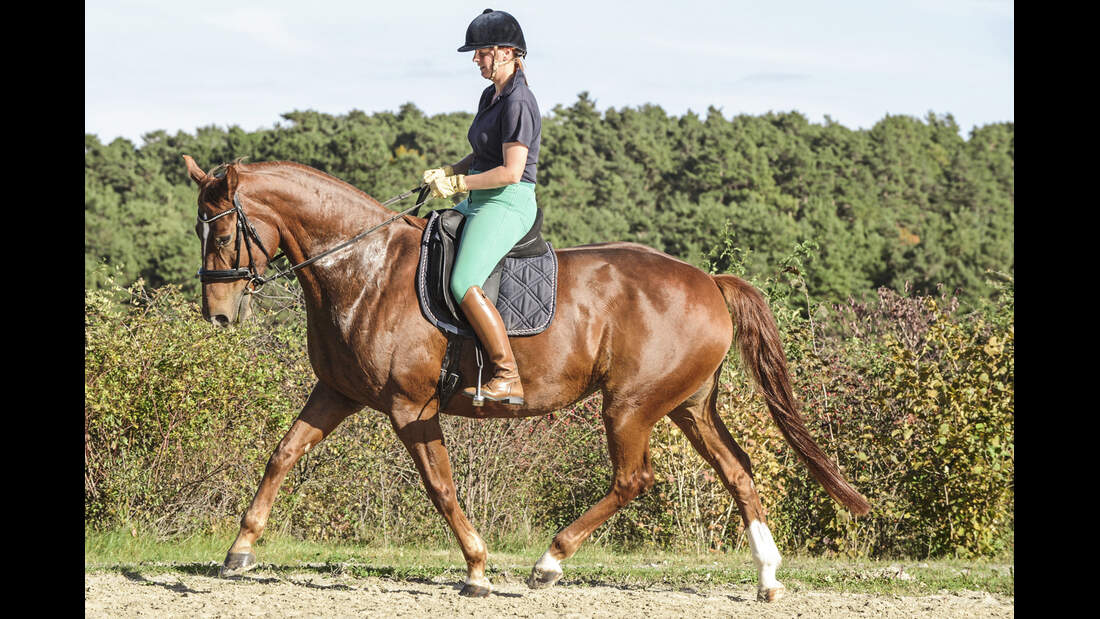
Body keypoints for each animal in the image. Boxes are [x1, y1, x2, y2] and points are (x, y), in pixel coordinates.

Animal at [184, 155, 870, 602]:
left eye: (224, 230)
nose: (218, 316)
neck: (362, 267)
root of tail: (708, 280)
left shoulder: (410, 408)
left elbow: (441, 487)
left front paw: (478, 569)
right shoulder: (337, 394)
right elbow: (282, 455)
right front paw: (239, 552)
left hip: (631, 406)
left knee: (634, 478)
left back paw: (549, 561)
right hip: (689, 406)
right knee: (739, 471)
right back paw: (768, 577)